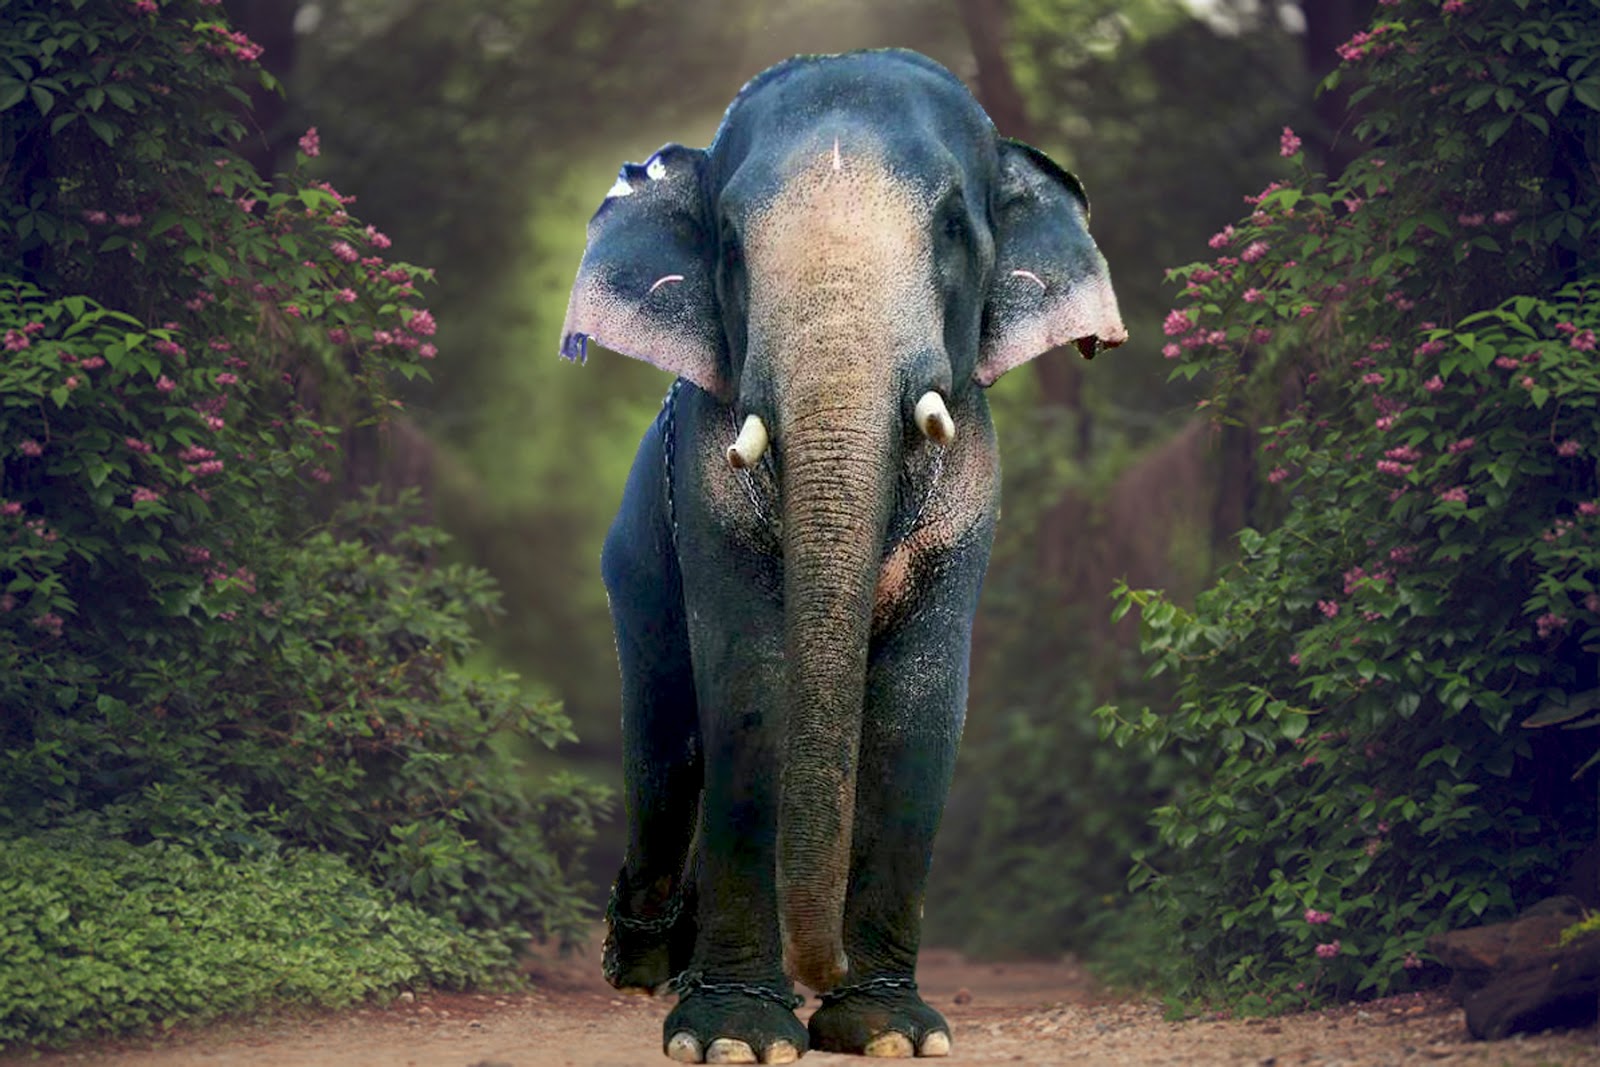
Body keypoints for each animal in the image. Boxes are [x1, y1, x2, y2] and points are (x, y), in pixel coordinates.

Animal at [559, 49, 1125, 1064]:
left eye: (953, 230)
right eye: (729, 244)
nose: (818, 969)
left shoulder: (976, 482)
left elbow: (917, 710)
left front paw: (886, 1030)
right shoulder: (705, 479)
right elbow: (748, 684)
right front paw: (738, 1036)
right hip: (631, 560)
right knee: (665, 741)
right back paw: (644, 962)